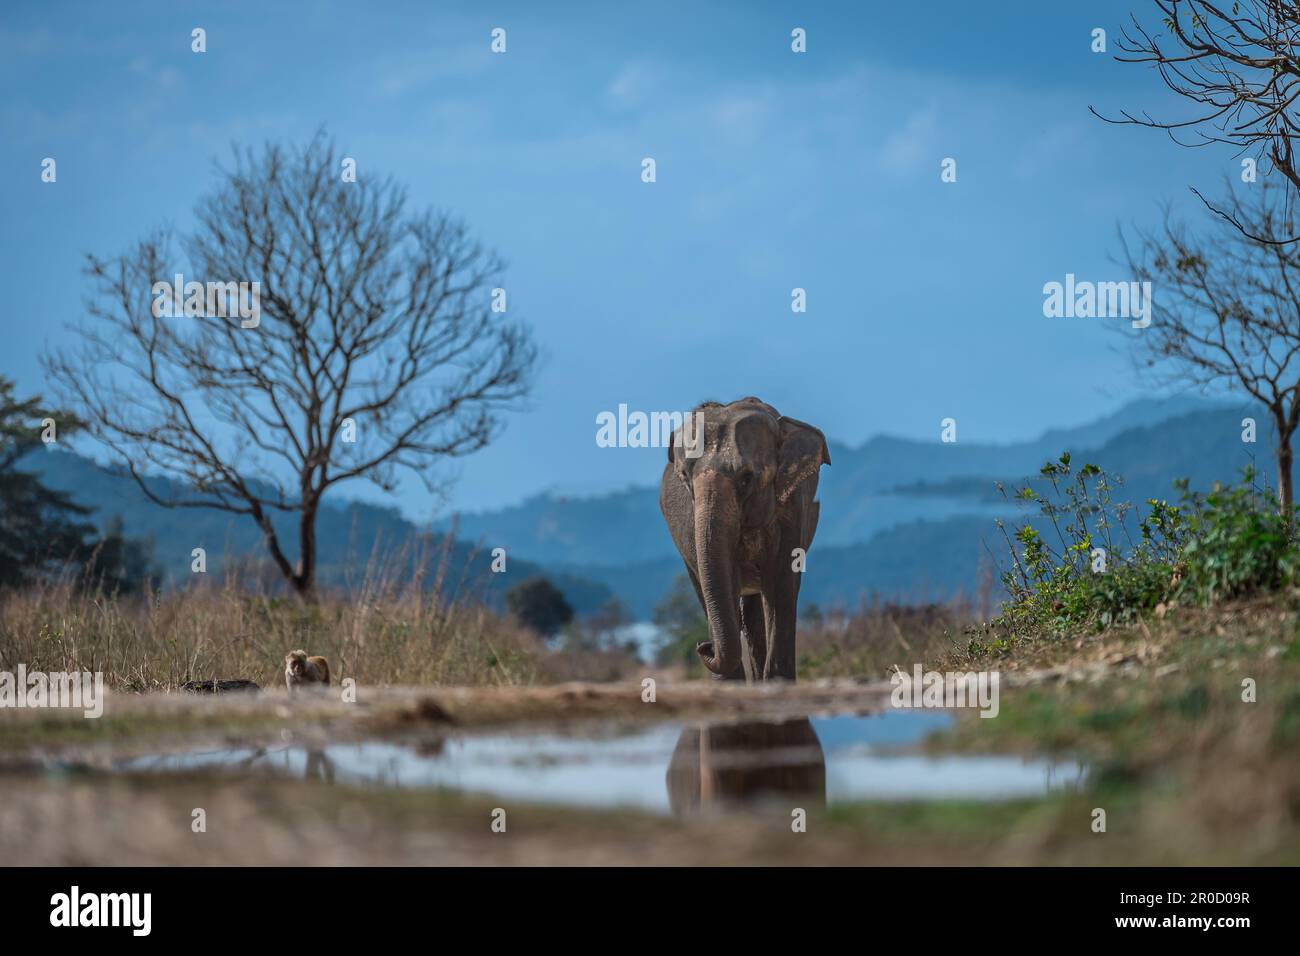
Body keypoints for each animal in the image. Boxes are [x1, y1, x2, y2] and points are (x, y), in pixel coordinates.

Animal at [660, 397, 830, 681]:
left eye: (746, 478)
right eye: (684, 477)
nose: (703, 646)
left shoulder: (793, 506)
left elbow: (781, 585)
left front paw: (778, 680)